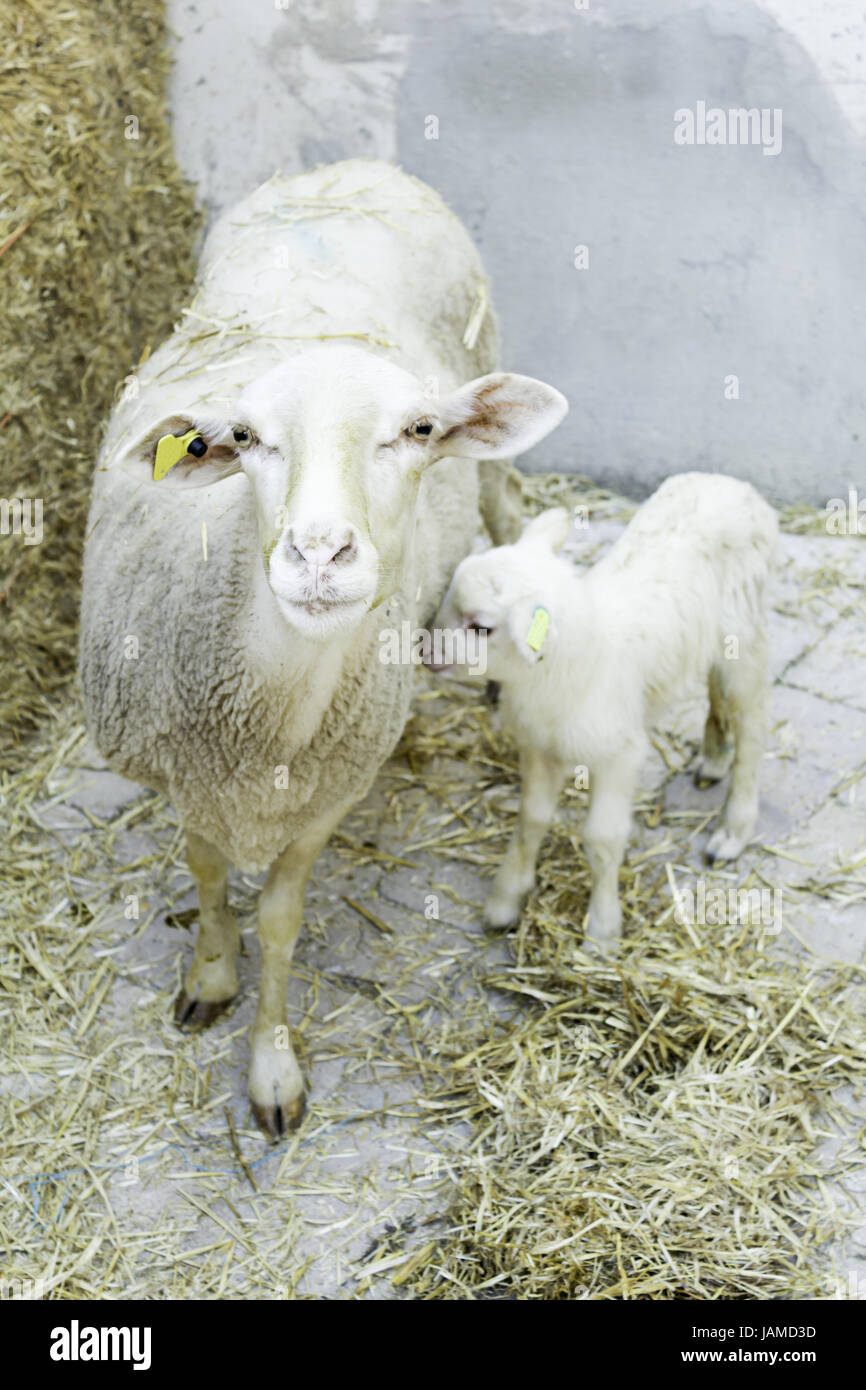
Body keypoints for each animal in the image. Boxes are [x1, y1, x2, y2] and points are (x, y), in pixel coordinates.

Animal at [79, 159, 568, 1137]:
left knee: (507, 515)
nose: (317, 554)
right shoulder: (185, 777)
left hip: (491, 440)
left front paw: (272, 1067)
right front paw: (211, 977)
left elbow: (279, 917)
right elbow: (207, 874)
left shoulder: (327, 796)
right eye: (243, 439)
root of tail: (352, 167)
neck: (272, 714)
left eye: (419, 430)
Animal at [424, 473, 778, 953]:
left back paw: (732, 830)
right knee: (715, 686)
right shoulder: (539, 748)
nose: (423, 650)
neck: (570, 664)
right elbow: (531, 819)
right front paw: (505, 901)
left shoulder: (619, 755)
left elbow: (602, 839)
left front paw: (602, 932)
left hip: (747, 631)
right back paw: (713, 757)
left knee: (753, 724)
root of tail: (733, 484)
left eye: (481, 626)